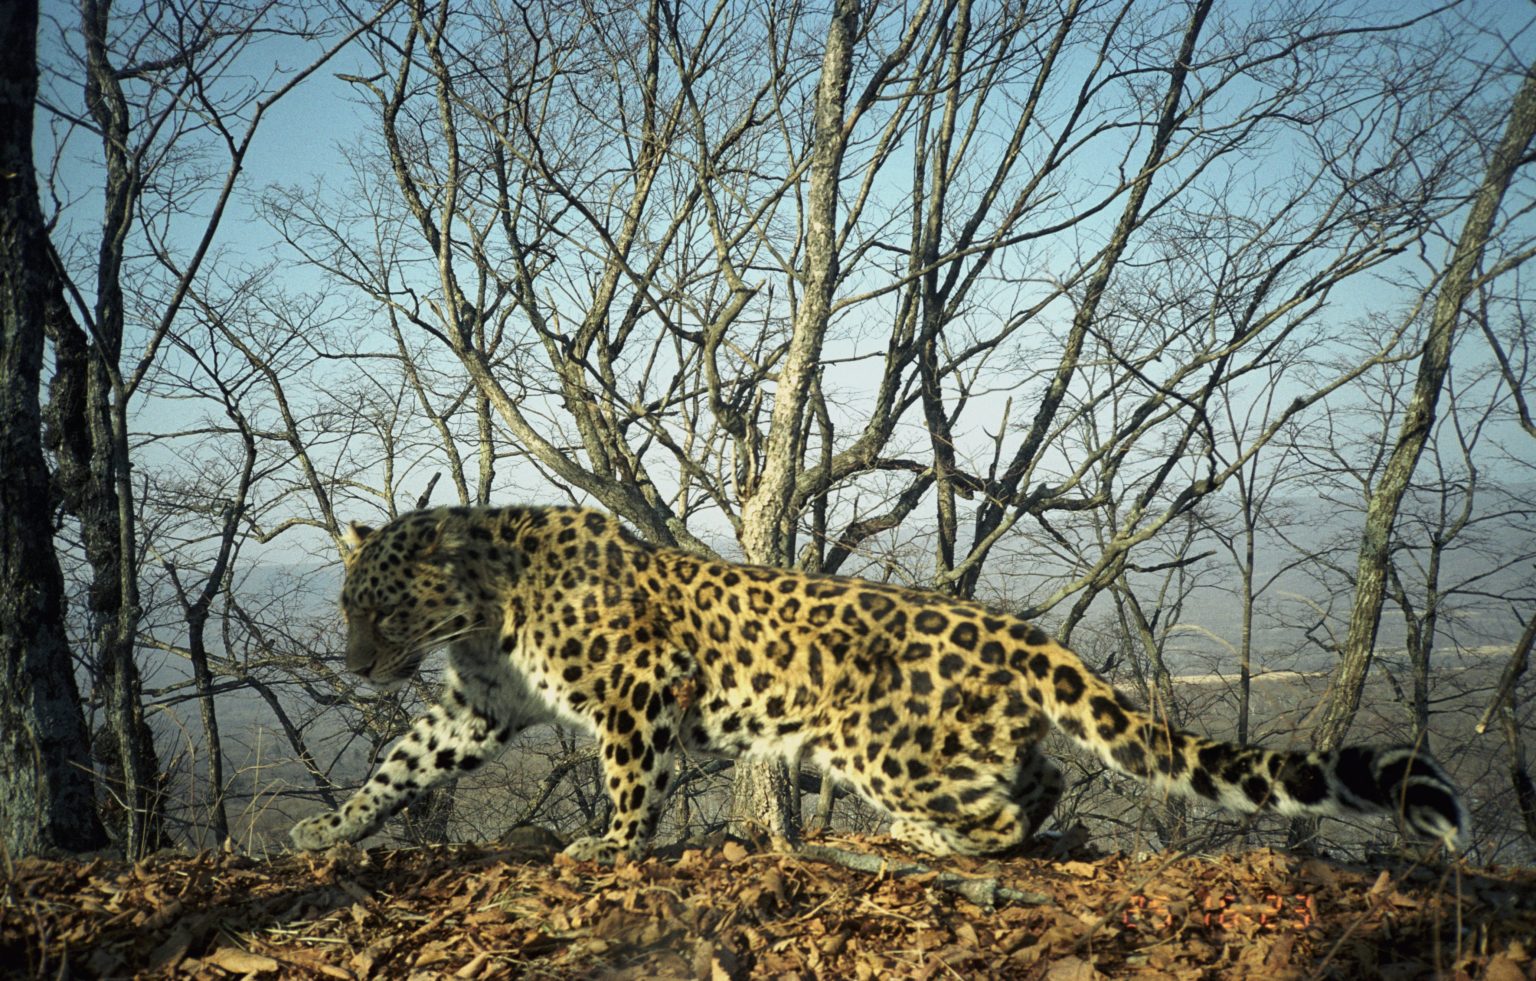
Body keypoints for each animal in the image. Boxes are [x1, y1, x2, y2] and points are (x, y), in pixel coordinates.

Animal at [290, 505, 1468, 862]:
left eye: (380, 610)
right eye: (346, 607)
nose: (355, 663)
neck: (485, 610)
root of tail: (1022, 632)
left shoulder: (640, 688)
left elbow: (631, 781)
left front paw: (611, 847)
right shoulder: (476, 704)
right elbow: (402, 763)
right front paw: (331, 829)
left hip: (883, 744)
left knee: (1001, 816)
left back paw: (924, 840)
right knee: (1042, 786)